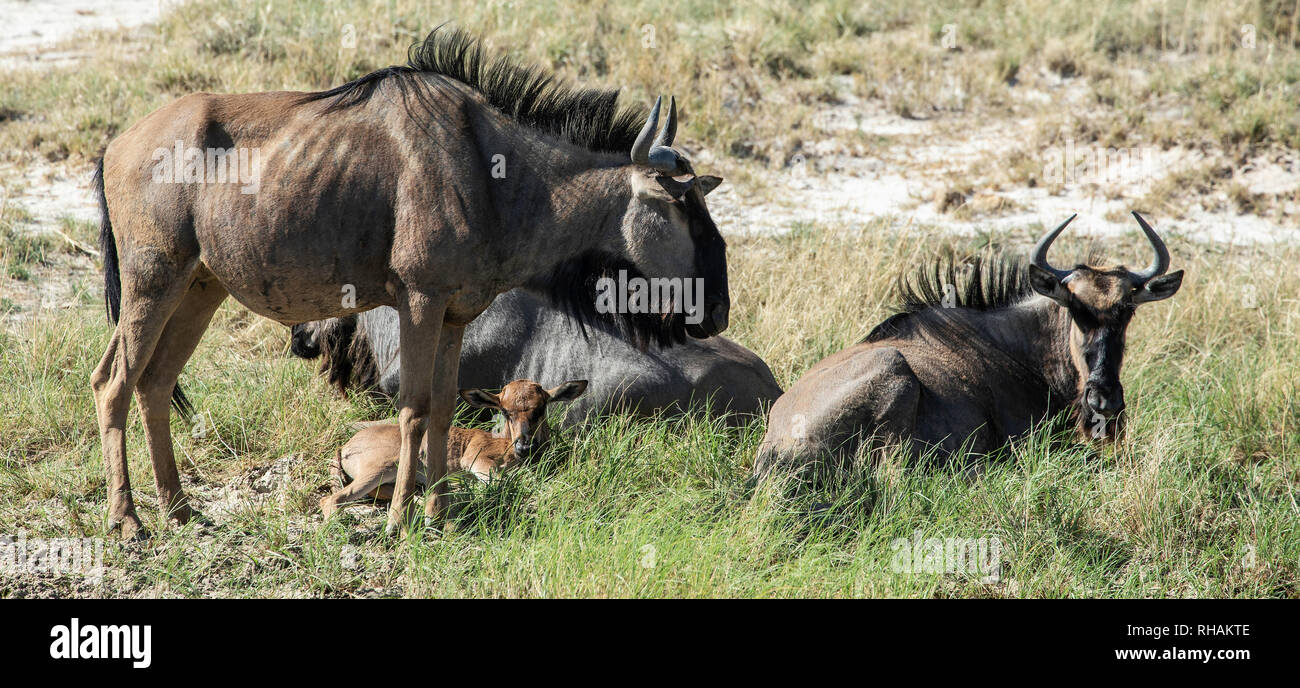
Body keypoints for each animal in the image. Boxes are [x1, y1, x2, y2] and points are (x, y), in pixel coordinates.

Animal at [319, 379, 587, 518]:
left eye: (540, 408)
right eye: (504, 411)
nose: (524, 445)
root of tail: (346, 447)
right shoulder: (475, 460)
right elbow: (500, 482)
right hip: (382, 467)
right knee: (332, 499)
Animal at [754, 212, 1185, 480]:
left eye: (1127, 309)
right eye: (1075, 308)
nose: (1104, 400)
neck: (1019, 348)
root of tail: (773, 448)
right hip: (895, 373)